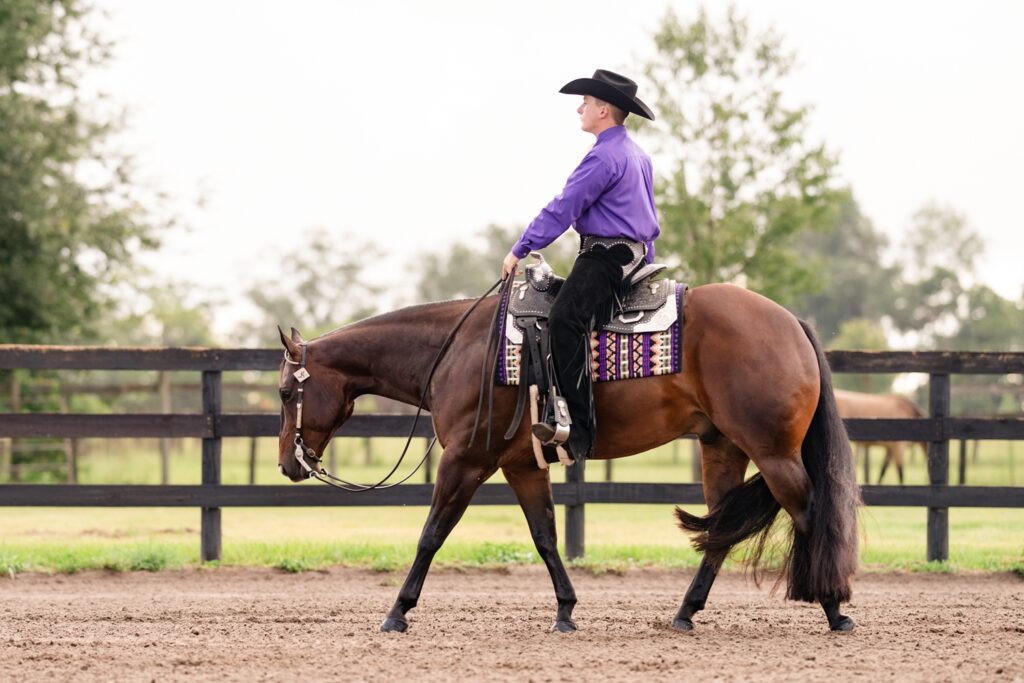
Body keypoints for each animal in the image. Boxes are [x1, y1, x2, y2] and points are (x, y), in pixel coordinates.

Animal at [275, 282, 860, 633]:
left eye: (284, 393)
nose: (287, 463)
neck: (460, 350)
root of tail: (791, 322)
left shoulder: (465, 461)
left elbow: (431, 534)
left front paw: (397, 612)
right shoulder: (522, 465)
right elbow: (545, 537)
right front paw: (565, 611)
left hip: (773, 452)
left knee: (810, 514)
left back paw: (834, 606)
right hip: (722, 448)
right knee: (720, 532)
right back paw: (684, 614)